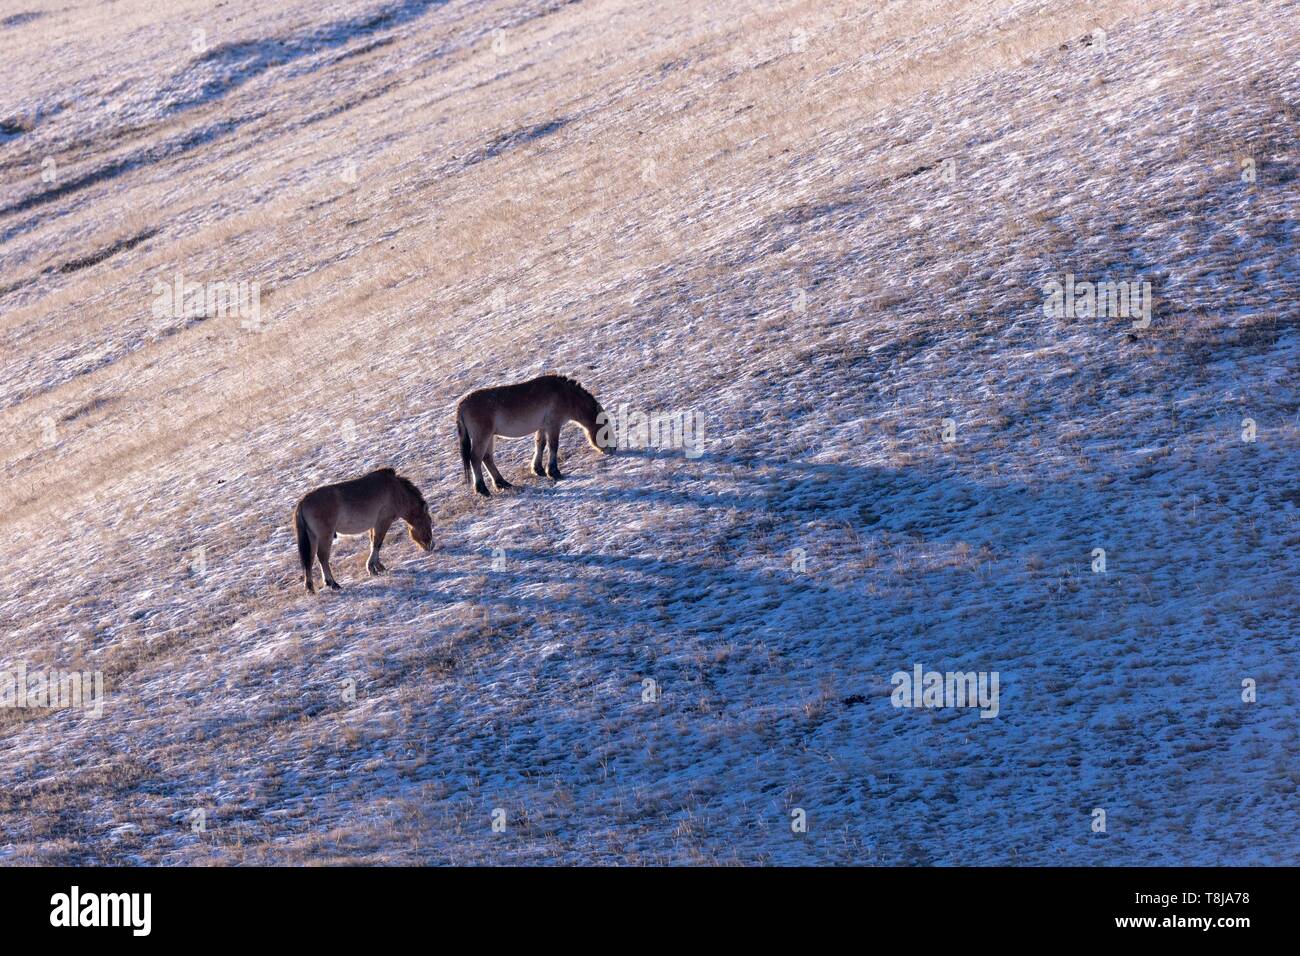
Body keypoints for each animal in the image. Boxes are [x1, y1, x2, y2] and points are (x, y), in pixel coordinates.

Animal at [291, 467, 433, 592]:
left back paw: (310, 588)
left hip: (313, 537)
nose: (431, 546)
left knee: (310, 560)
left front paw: (378, 567)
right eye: (428, 522)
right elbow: (377, 544)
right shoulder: (383, 522)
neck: (396, 490)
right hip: (325, 536)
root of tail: (302, 503)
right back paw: (333, 583)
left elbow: (373, 544)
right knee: (322, 557)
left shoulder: (374, 526)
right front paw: (372, 568)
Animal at [455, 374, 615, 496]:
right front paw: (554, 472)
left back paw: (503, 484)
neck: (565, 394)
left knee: (487, 458)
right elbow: (553, 446)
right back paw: (482, 489)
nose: (612, 449)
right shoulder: (553, 425)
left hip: (489, 437)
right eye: (606, 429)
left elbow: (540, 444)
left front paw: (538, 470)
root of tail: (461, 405)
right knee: (475, 458)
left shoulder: (542, 426)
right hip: (482, 436)